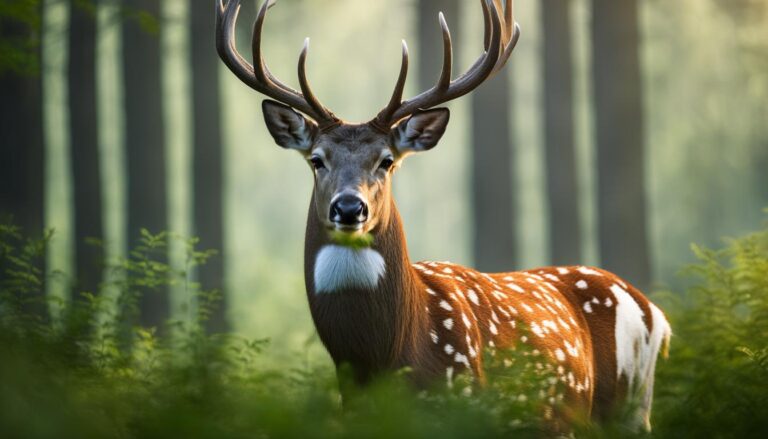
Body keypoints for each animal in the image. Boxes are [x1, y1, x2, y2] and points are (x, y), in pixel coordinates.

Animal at [215, 0, 671, 431]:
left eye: (386, 161)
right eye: (316, 159)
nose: (348, 207)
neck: (390, 357)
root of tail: (654, 311)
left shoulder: (467, 399)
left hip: (631, 405)